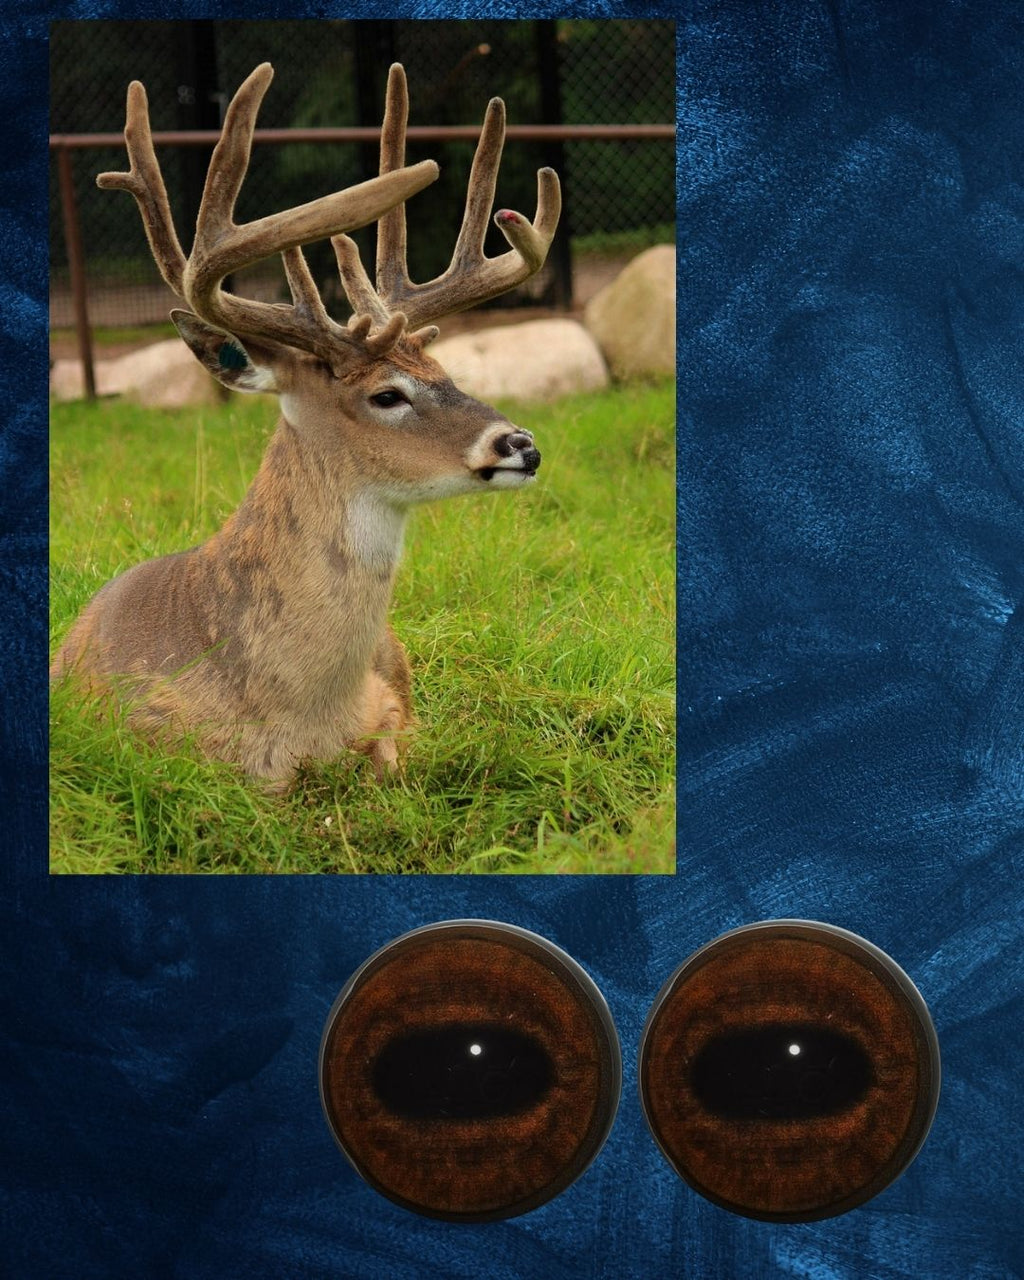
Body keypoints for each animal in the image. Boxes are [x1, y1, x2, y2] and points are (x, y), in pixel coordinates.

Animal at [50, 62, 560, 792]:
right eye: (386, 395)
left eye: (445, 369)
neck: (298, 710)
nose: (521, 444)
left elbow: (387, 758)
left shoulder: (392, 709)